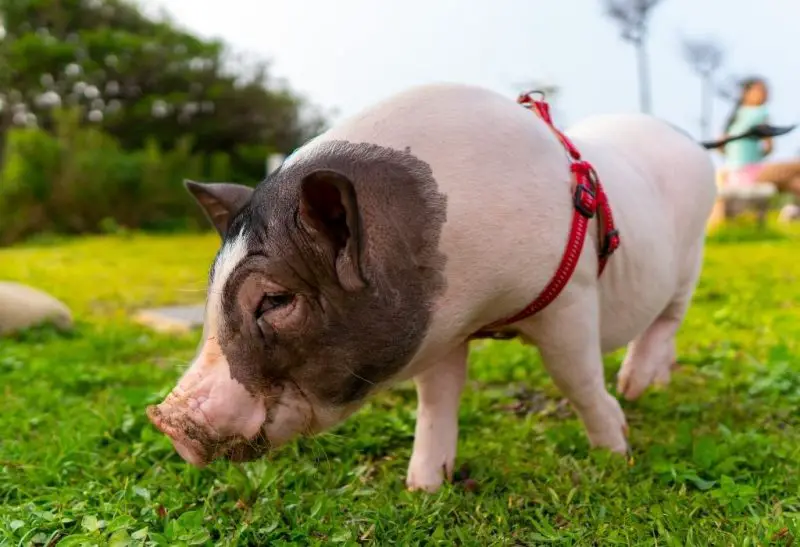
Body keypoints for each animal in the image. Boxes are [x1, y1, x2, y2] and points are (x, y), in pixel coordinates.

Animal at [147, 82, 717, 492]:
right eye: (212, 287)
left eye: (275, 300)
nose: (167, 419)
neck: (485, 309)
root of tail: (692, 143)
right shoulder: (442, 326)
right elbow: (437, 399)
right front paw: (423, 488)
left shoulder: (570, 298)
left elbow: (575, 379)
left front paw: (617, 451)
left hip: (692, 253)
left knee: (669, 317)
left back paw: (635, 386)